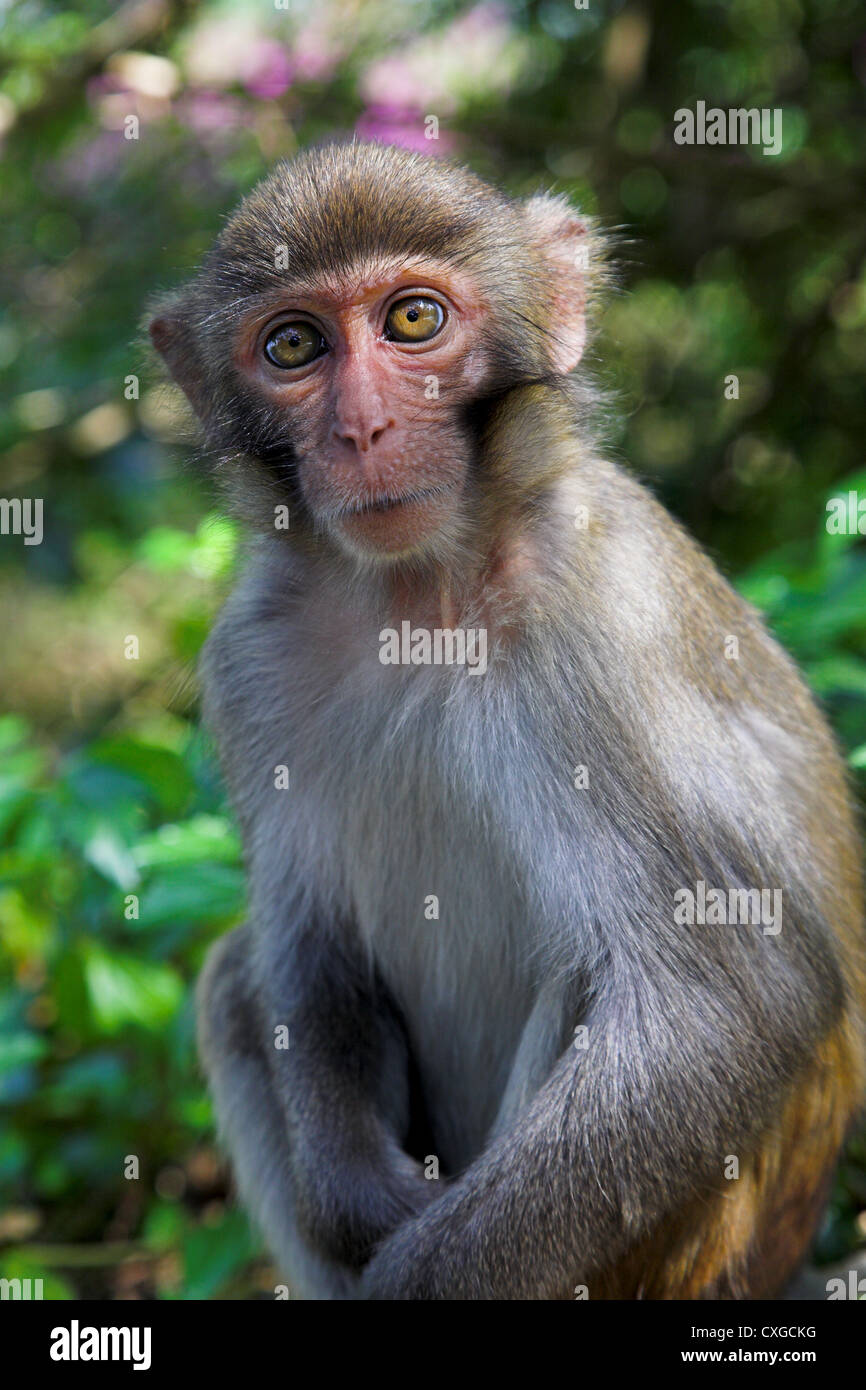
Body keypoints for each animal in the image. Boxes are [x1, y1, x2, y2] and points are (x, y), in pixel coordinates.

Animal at [149, 141, 866, 1300]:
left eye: (412, 320)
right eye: (292, 345)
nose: (361, 430)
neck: (422, 601)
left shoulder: (601, 615)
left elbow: (735, 998)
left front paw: (412, 1281)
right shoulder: (248, 654)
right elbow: (308, 945)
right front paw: (357, 1199)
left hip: (692, 1250)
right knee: (231, 981)